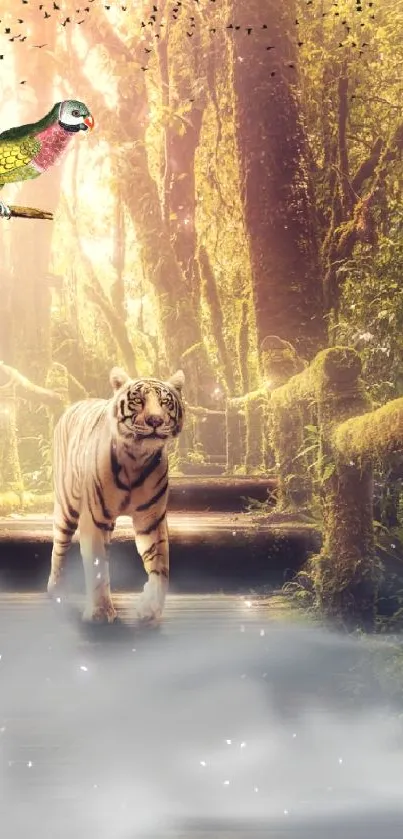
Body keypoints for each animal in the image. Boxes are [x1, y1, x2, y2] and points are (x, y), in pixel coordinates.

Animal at [47, 366, 185, 625]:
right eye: (139, 401)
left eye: (164, 402)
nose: (155, 420)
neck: (137, 459)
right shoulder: (94, 519)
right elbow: (98, 566)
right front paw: (100, 613)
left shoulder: (152, 520)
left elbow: (161, 566)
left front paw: (150, 607)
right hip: (66, 508)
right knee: (59, 546)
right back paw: (55, 589)